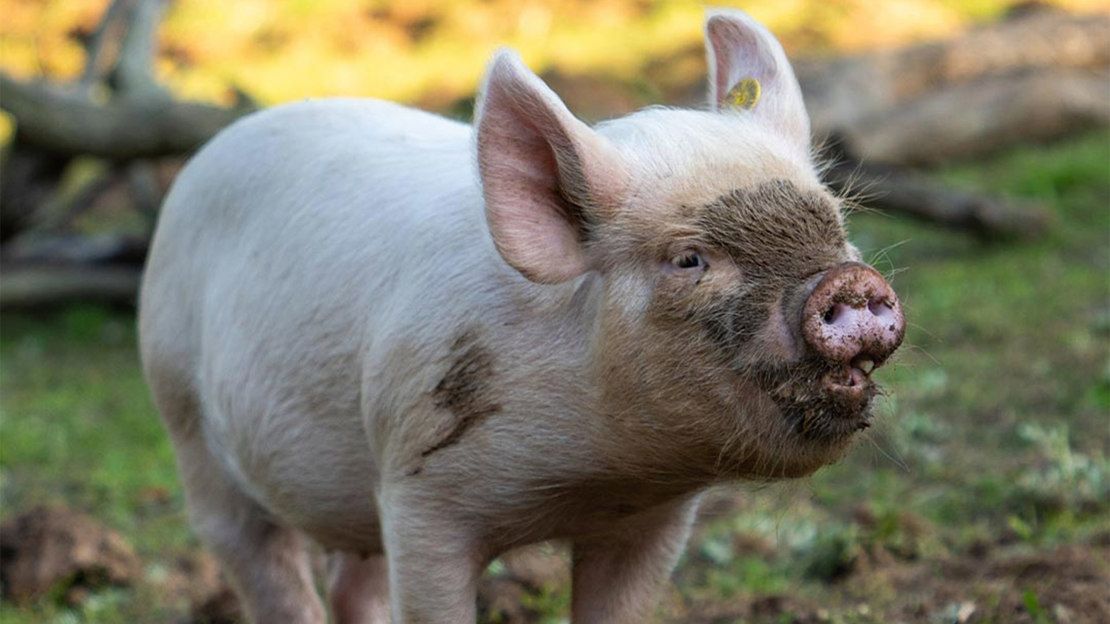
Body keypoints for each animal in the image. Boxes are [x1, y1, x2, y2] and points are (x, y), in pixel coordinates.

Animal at [138, 8, 904, 624]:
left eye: (835, 226)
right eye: (690, 259)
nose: (850, 281)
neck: (590, 479)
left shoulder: (653, 521)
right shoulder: (418, 495)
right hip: (186, 424)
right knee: (263, 566)